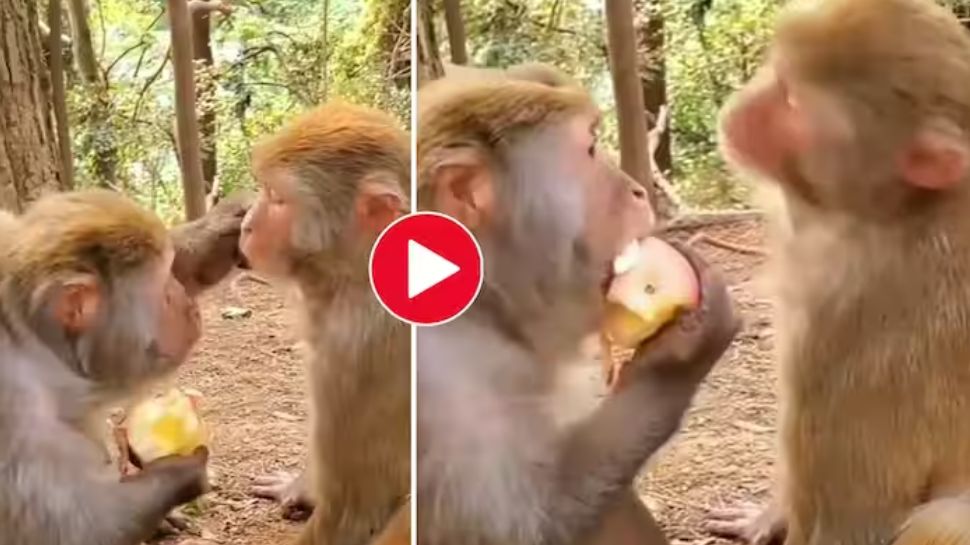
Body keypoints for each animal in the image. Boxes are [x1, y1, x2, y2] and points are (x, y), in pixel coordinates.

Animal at [0, 189, 210, 545]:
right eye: (165, 289)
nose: (190, 306)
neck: (36, 347)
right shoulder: (12, 404)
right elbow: (75, 530)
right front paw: (183, 472)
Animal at [415, 75, 740, 545]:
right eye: (589, 150)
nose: (639, 190)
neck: (489, 305)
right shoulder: (444, 376)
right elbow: (522, 526)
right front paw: (681, 355)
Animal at [702, 0, 970, 544]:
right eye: (776, 70)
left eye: (792, 101)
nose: (743, 105)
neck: (896, 210)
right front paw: (767, 515)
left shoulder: (859, 318)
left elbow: (857, 510)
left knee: (942, 521)